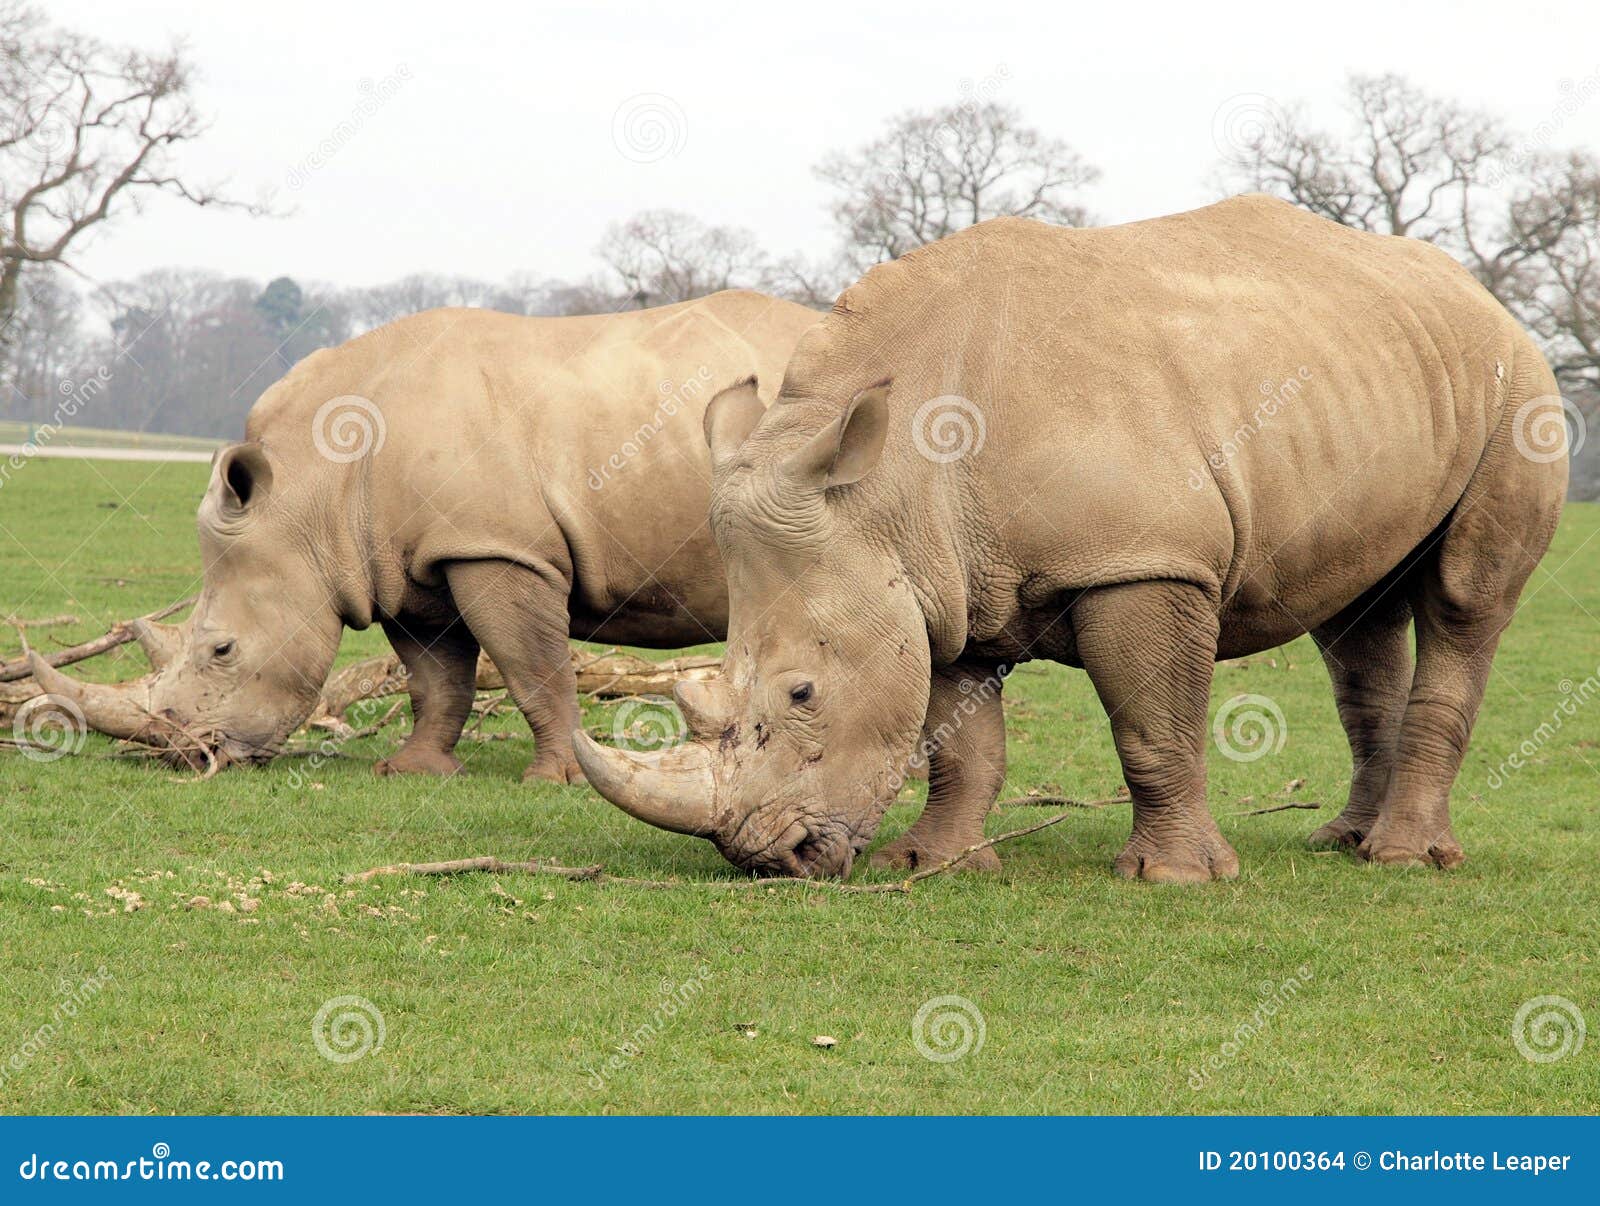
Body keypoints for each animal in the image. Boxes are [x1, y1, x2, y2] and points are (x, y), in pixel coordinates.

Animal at [33, 291, 820, 780]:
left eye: (221, 651)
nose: (183, 754)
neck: (310, 491)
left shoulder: (495, 546)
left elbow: (533, 666)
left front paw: (558, 779)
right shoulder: (403, 562)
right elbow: (434, 677)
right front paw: (411, 769)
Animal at [575, 197, 1568, 881]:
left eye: (803, 693)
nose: (765, 858)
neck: (885, 488)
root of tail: (1482, 295)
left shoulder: (1141, 560)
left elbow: (1152, 724)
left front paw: (1173, 879)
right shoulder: (938, 583)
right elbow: (959, 739)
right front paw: (931, 865)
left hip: (1518, 385)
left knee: (1466, 599)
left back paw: (1405, 860)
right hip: (1386, 371)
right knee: (1355, 623)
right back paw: (1342, 842)